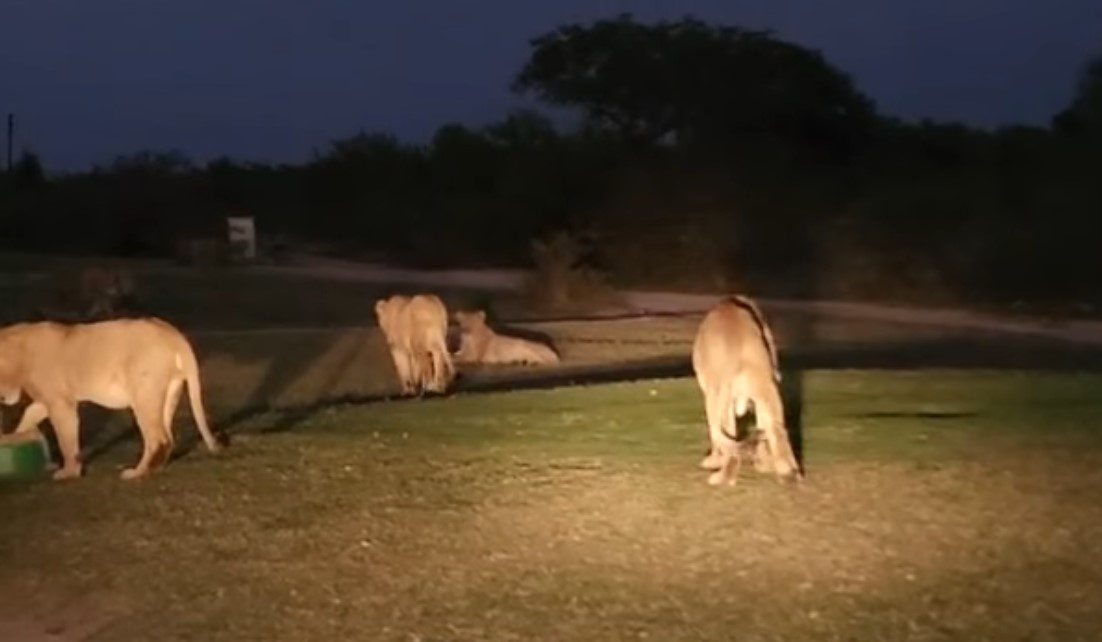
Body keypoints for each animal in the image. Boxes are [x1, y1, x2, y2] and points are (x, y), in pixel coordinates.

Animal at [0, 318, 223, 481]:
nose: (2, 399)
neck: (18, 353)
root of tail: (174, 334)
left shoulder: (60, 403)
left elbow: (66, 439)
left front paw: (69, 473)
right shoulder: (50, 399)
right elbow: (29, 414)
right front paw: (16, 437)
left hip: (144, 396)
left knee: (156, 438)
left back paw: (137, 473)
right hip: (170, 391)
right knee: (167, 437)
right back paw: (156, 467)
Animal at [691, 295, 801, 486]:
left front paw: (714, 462)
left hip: (718, 395)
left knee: (724, 434)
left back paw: (722, 476)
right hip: (767, 388)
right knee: (775, 429)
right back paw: (785, 471)